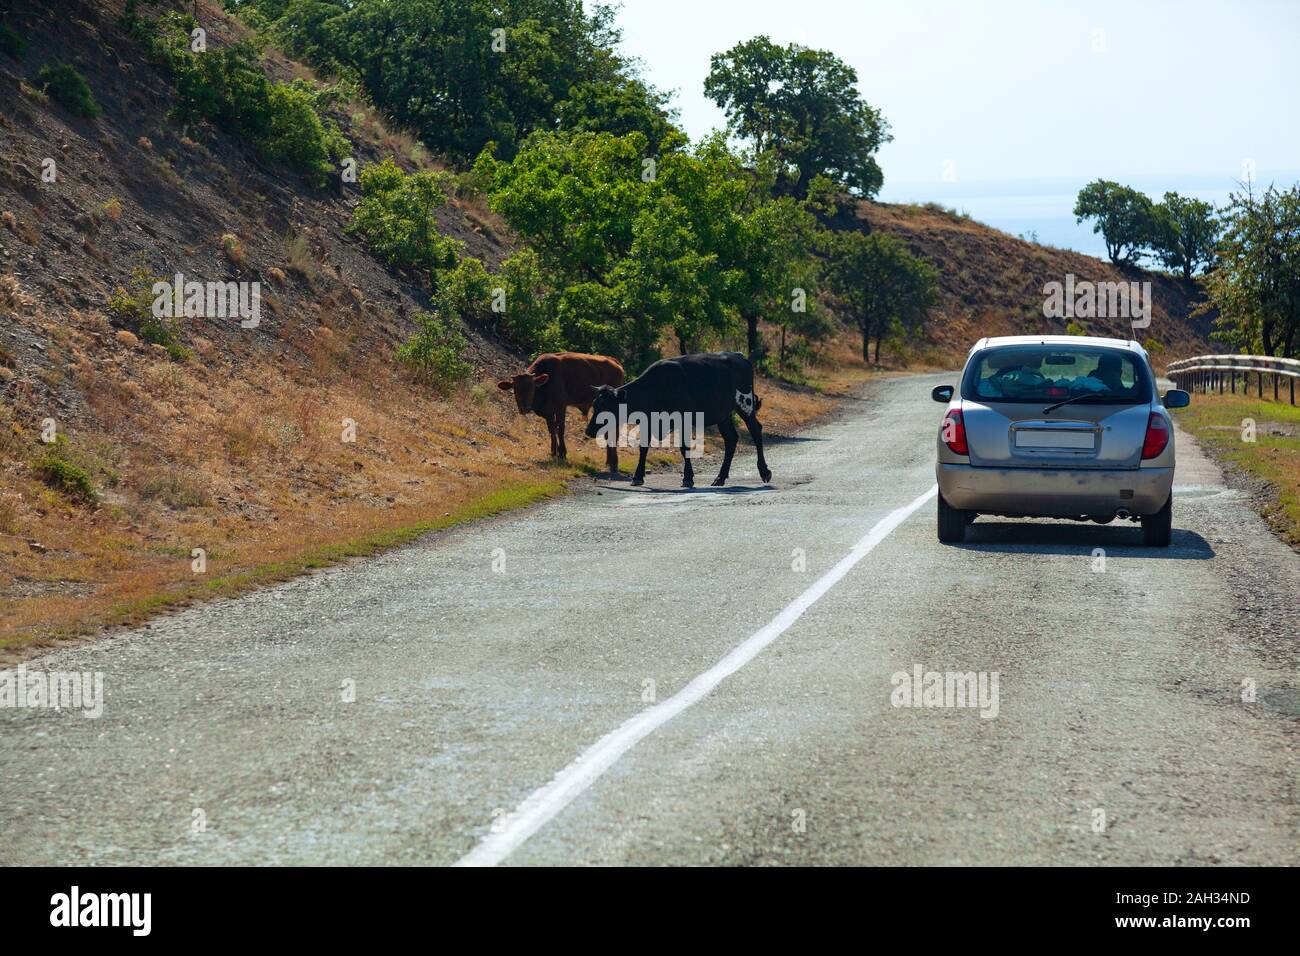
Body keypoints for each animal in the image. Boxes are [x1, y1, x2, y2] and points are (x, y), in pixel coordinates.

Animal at [584, 351, 772, 488]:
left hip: (745, 405)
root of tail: (739, 356)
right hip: (722, 414)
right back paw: (720, 477)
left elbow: (684, 447)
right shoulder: (648, 421)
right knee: (731, 439)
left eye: (606, 406)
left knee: (756, 431)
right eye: (594, 404)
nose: (589, 430)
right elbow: (643, 447)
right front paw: (637, 476)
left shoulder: (683, 419)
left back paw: (764, 472)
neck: (656, 387)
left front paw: (688, 478)